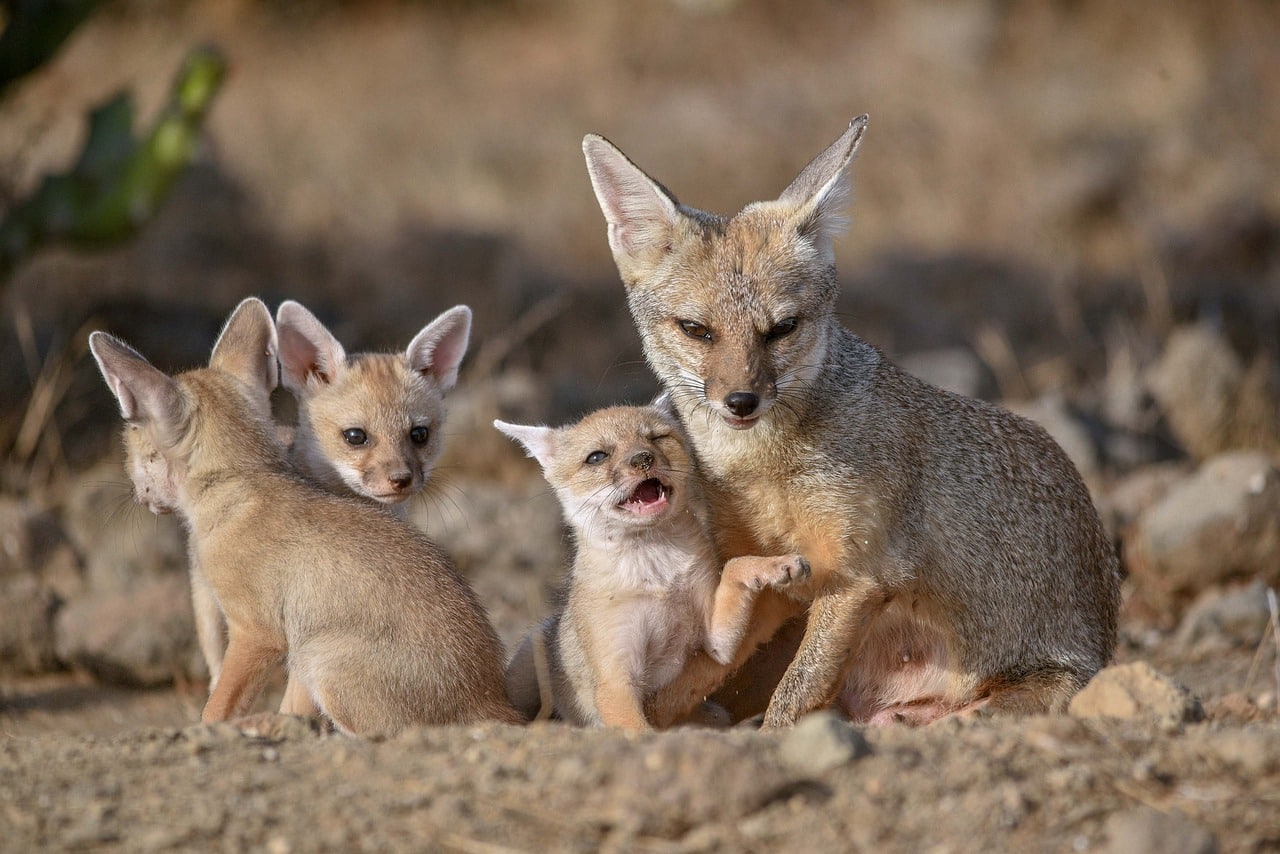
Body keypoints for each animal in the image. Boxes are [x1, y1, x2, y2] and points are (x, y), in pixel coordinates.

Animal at [90, 298, 520, 733]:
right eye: (355, 436)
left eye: (134, 452)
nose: (136, 493)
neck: (249, 479)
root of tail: (492, 697)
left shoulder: (257, 633)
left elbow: (216, 709)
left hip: (316, 656)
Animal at [495, 404, 809, 729]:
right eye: (596, 457)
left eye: (657, 438)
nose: (643, 458)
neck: (656, 572)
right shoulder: (615, 682)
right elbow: (640, 730)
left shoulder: (717, 645)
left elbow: (736, 564)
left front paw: (778, 565)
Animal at [582, 116, 1122, 728]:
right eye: (697, 330)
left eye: (783, 328)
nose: (742, 401)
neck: (763, 471)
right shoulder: (774, 586)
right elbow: (704, 667)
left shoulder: (858, 577)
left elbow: (792, 697)